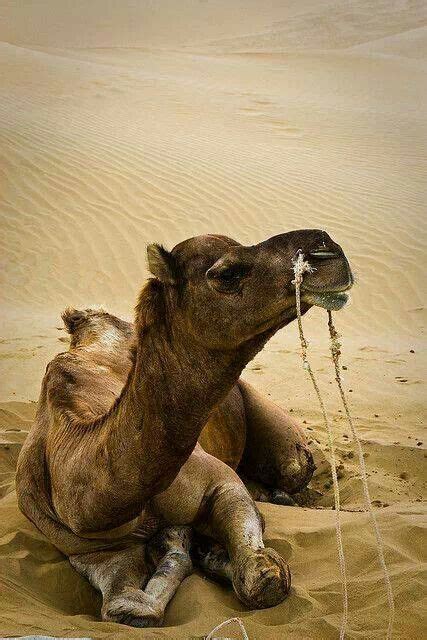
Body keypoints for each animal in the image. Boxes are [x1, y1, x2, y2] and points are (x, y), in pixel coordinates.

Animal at [16, 230, 353, 627]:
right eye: (227, 273)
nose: (327, 248)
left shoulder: (220, 482)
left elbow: (263, 578)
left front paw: (196, 547)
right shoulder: (94, 551)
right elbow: (128, 607)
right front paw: (187, 546)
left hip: (283, 444)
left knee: (292, 468)